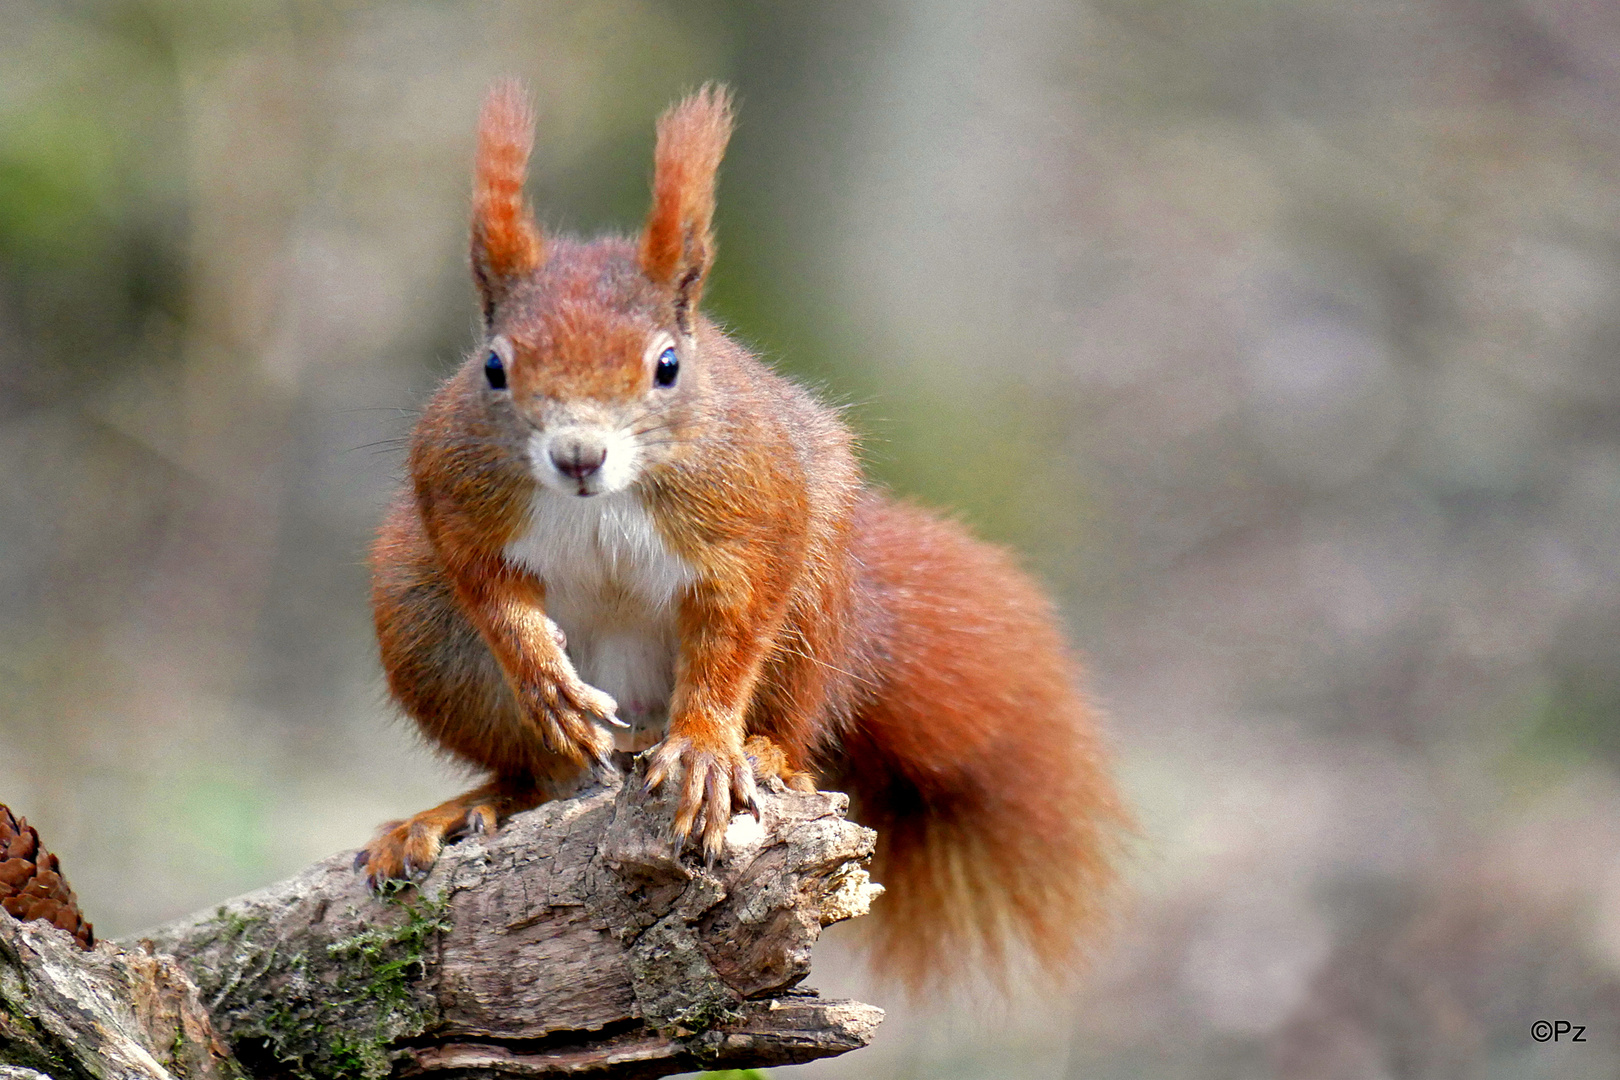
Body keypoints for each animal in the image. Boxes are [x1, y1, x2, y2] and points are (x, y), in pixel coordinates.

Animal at [362, 82, 1127, 990]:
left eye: (666, 365)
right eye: (493, 368)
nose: (578, 455)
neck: (599, 500)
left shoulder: (754, 509)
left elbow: (735, 623)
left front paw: (706, 748)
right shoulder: (452, 488)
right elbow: (486, 583)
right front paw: (542, 673)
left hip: (816, 616)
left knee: (791, 721)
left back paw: (759, 752)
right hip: (418, 620)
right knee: (540, 773)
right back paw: (463, 808)